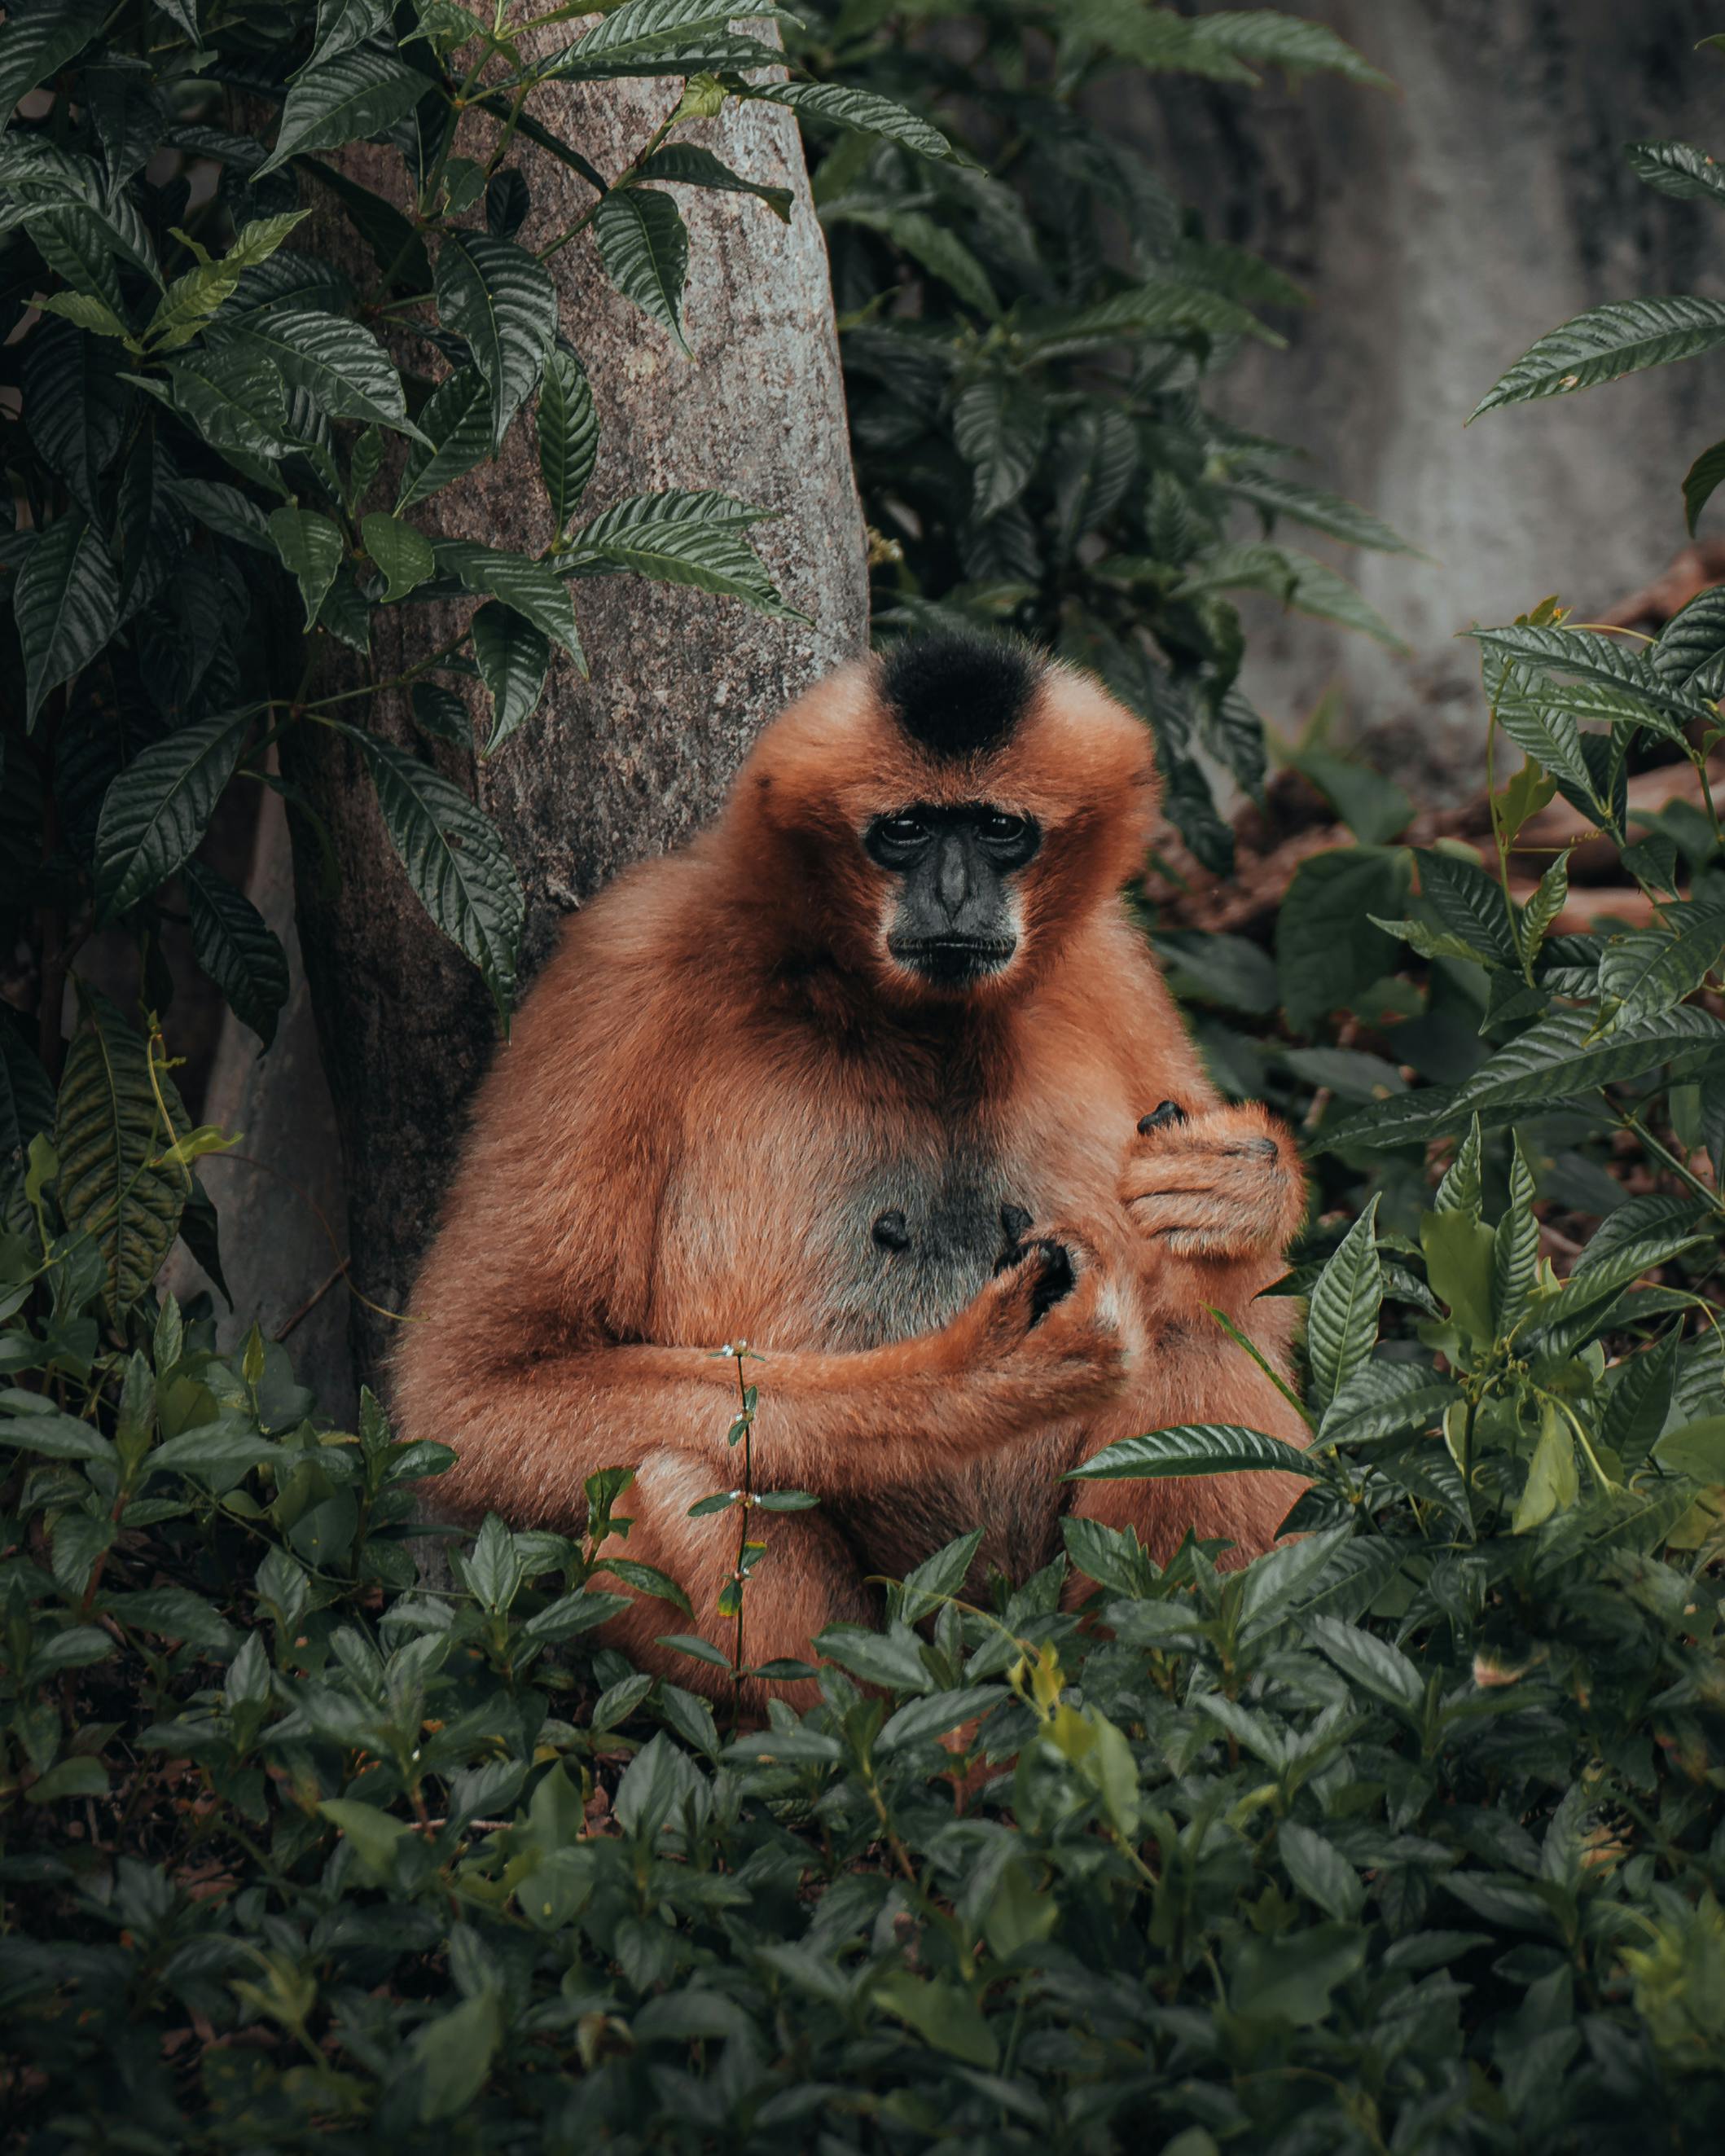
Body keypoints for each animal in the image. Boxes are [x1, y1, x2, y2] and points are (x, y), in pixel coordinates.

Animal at [394, 631, 1309, 1706]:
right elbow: (478, 1390)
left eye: (999, 828)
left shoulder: (1113, 958)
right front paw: (970, 1374)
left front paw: (1243, 1187)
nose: (954, 893)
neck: (897, 1012)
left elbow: (1258, 1318)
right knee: (679, 1470)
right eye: (904, 830)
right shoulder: (623, 965)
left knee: (1199, 1340)